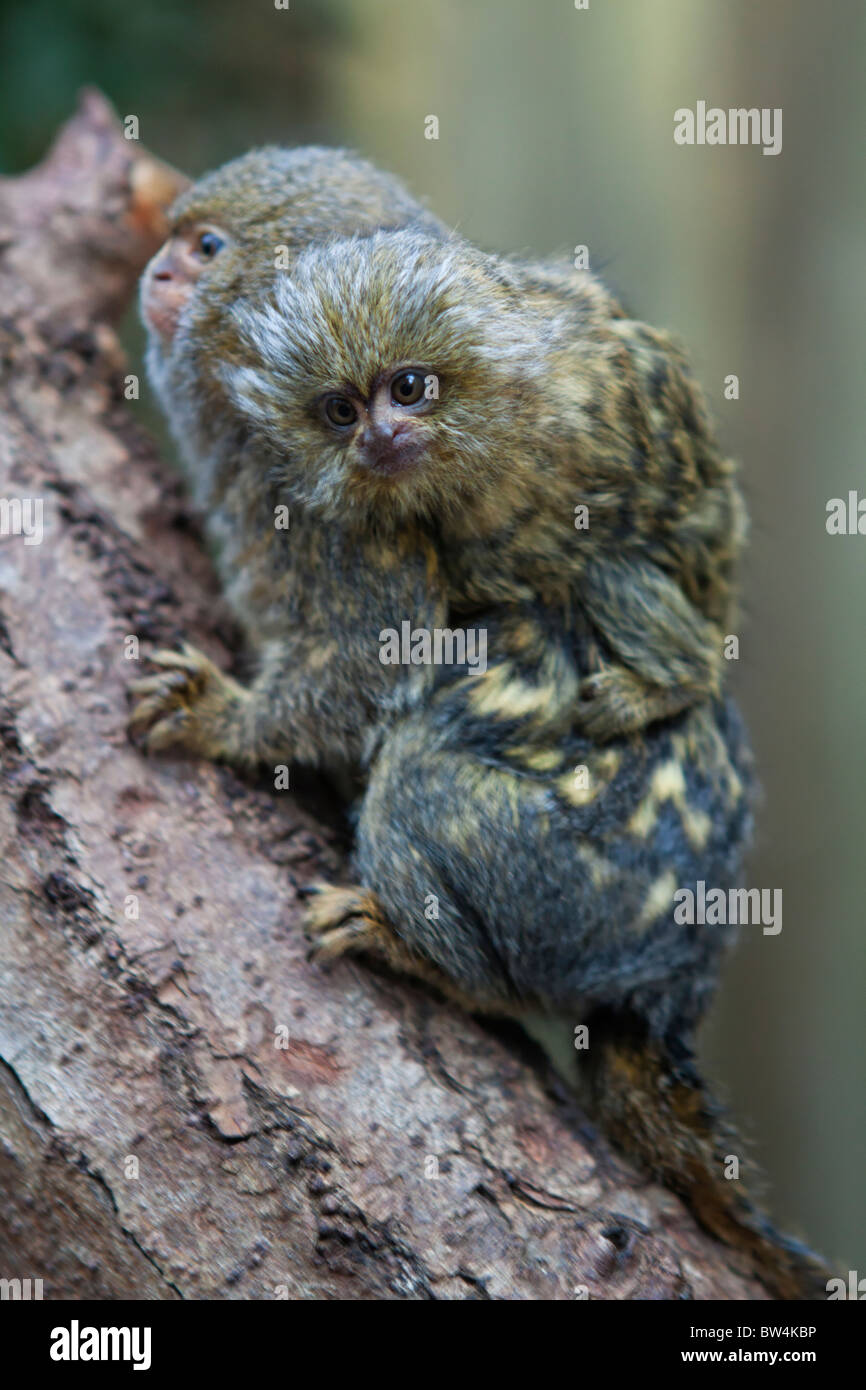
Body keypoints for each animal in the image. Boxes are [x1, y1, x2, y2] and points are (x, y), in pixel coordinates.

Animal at [130, 147, 830, 1299]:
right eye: (176, 240)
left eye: (206, 247)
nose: (151, 275)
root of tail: (671, 976)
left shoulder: (340, 527)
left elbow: (369, 662)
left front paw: (222, 718)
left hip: (565, 885)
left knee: (424, 781)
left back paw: (425, 956)